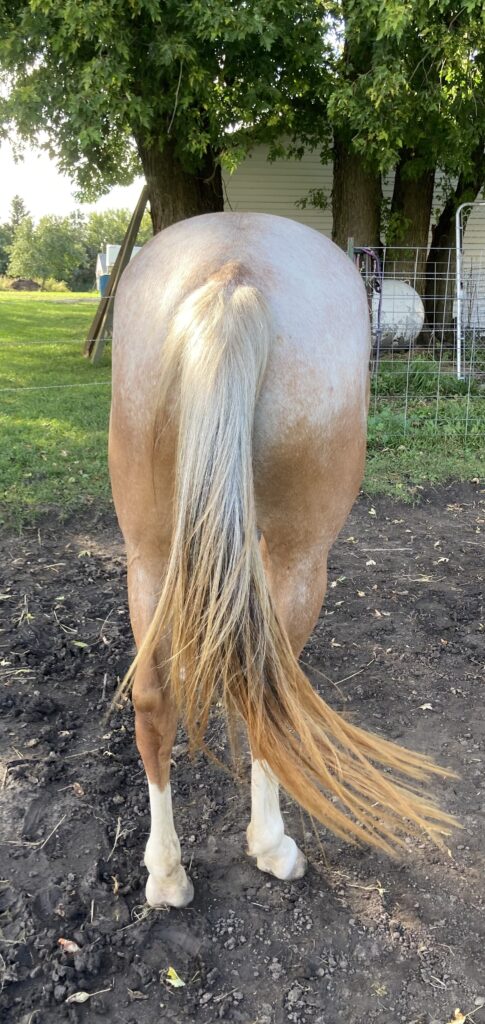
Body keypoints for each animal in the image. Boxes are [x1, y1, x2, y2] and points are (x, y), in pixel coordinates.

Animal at [109, 212, 454, 909]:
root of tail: (232, 275)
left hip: (149, 555)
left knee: (154, 701)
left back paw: (166, 874)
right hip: (301, 558)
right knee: (265, 693)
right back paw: (272, 848)